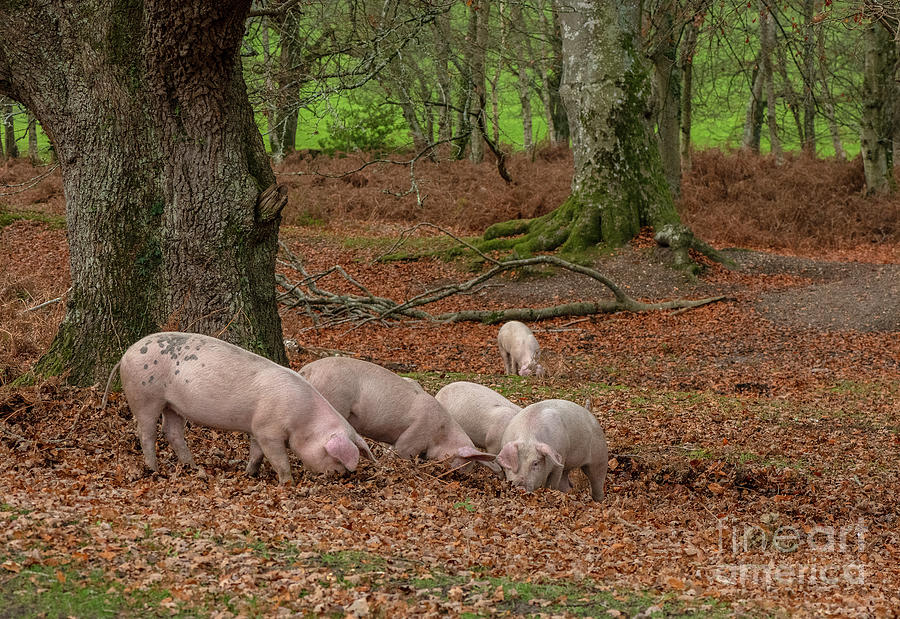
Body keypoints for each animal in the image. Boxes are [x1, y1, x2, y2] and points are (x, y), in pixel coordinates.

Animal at [101, 332, 374, 484]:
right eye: (334, 455)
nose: (341, 475)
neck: (303, 420)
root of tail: (126, 354)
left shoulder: (257, 428)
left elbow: (256, 454)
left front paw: (249, 474)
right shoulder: (269, 430)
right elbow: (278, 459)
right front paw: (288, 483)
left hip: (173, 405)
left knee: (172, 432)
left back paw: (194, 468)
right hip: (145, 396)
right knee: (145, 432)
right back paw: (154, 469)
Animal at [298, 357, 494, 469]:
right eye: (464, 462)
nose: (459, 474)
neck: (441, 432)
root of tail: (306, 370)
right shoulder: (414, 435)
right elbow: (402, 452)